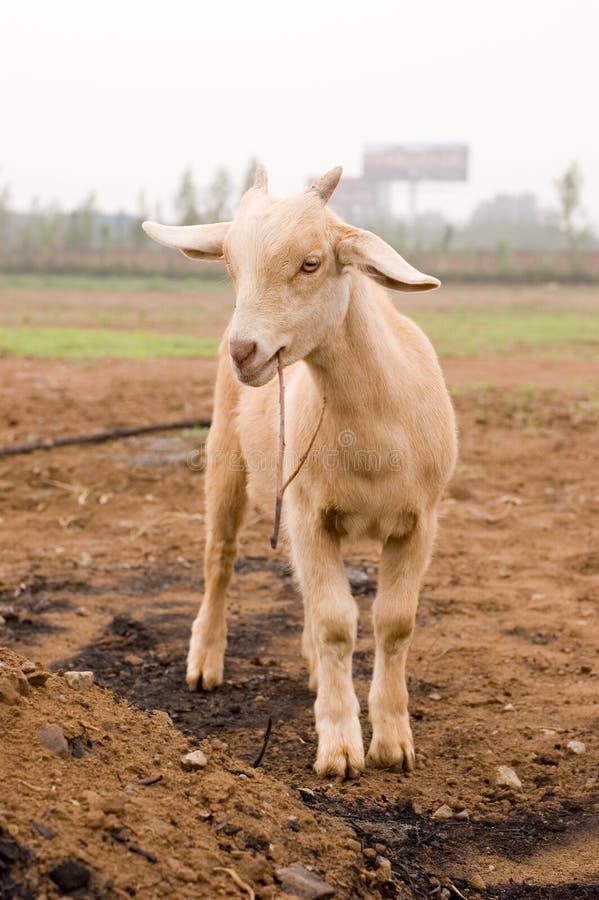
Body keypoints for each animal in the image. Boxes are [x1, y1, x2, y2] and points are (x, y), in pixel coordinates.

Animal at [143, 165, 457, 777]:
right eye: (230, 265)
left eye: (312, 263)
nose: (244, 350)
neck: (375, 429)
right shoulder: (312, 513)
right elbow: (336, 621)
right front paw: (340, 747)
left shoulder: (419, 521)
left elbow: (395, 622)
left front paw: (394, 742)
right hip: (226, 455)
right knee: (220, 558)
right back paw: (205, 661)